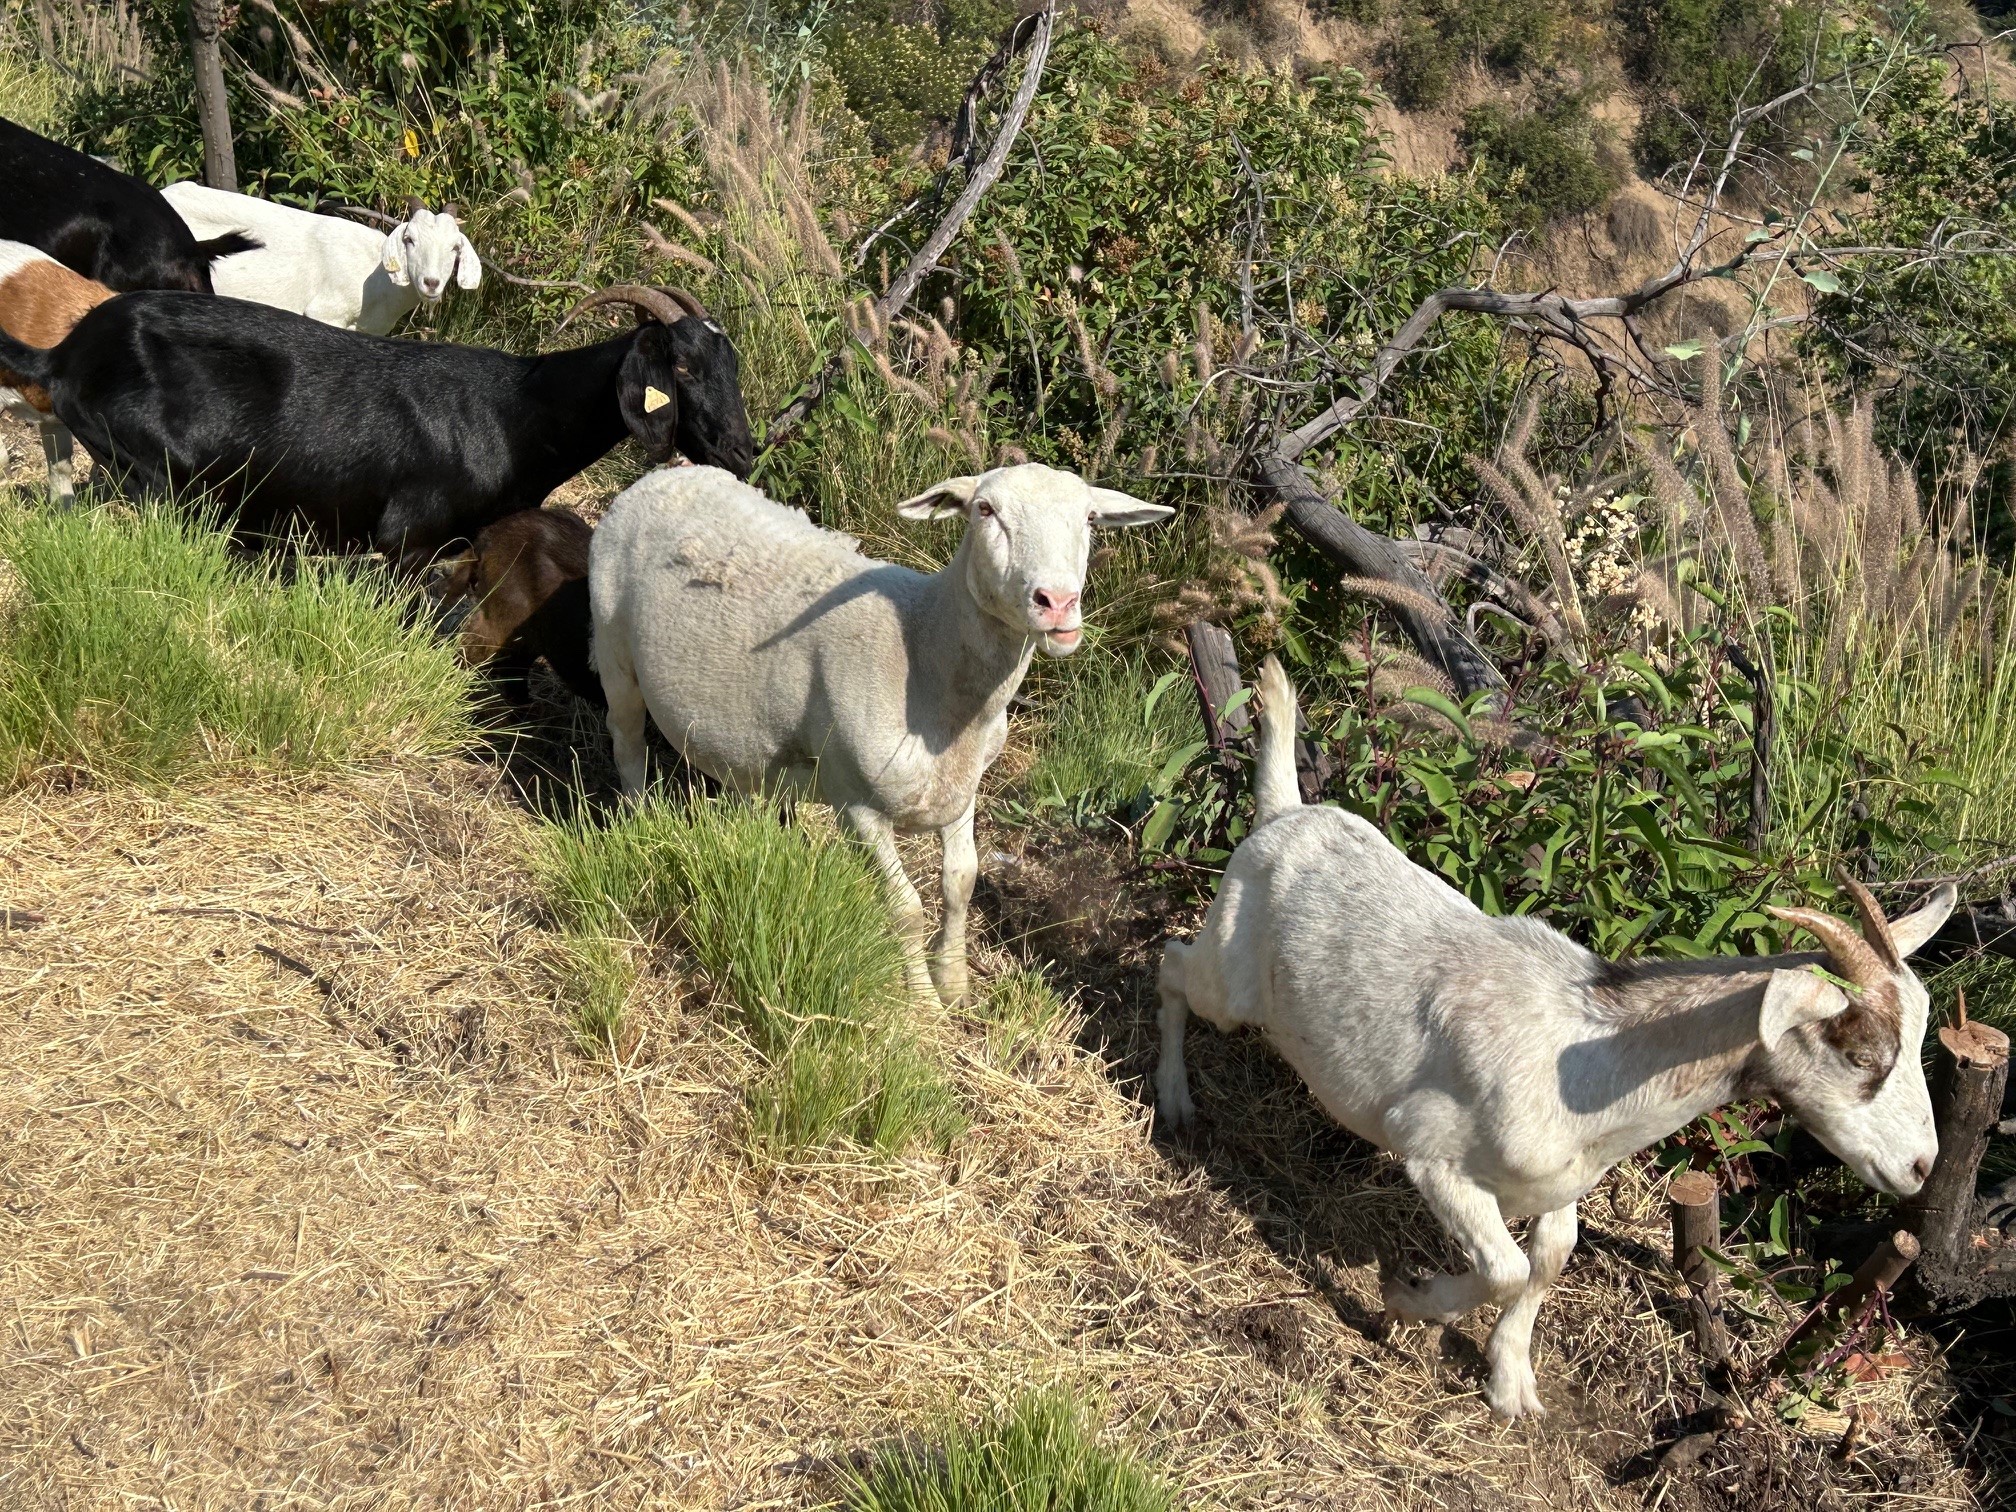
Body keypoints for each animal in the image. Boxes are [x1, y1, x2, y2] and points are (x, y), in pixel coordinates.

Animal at [0, 285, 753, 571]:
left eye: (731, 363)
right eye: (680, 366)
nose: (743, 449)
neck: (517, 413)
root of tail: (63, 355)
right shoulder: (406, 539)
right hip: (157, 473)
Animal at [589, 462, 1172, 1004]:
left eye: (1091, 518)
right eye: (985, 510)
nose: (1058, 603)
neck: (925, 656)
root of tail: (662, 477)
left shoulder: (961, 788)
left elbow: (961, 882)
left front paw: (954, 983)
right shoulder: (857, 803)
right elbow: (904, 908)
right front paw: (924, 1006)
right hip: (615, 650)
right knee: (628, 742)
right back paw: (638, 824)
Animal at [1156, 657, 1956, 1421]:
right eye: (1861, 1055)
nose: (1922, 1167)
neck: (1594, 1064)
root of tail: (1284, 814)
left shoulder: (1563, 1179)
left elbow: (1549, 1259)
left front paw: (1510, 1382)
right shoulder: (1432, 1153)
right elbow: (1507, 1268)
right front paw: (1409, 1299)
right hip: (1231, 980)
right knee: (1170, 964)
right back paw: (1174, 1104)